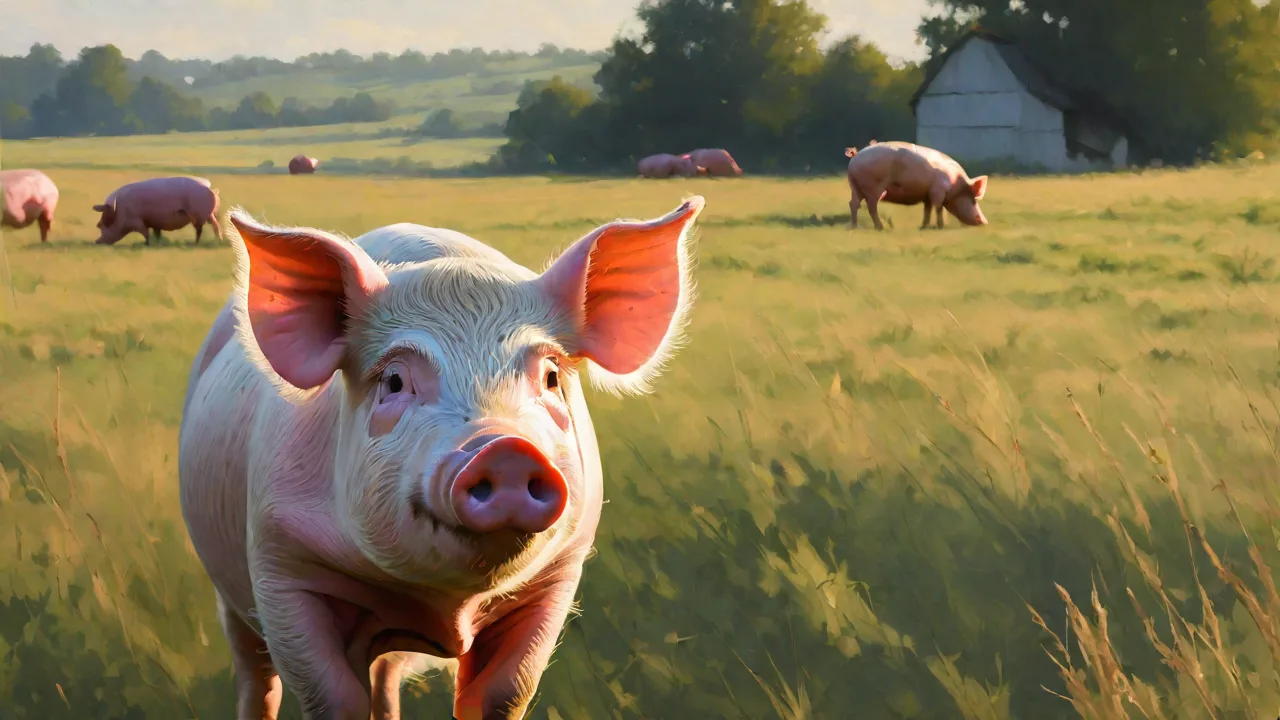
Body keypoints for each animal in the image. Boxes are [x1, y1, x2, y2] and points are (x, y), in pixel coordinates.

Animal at [93, 176, 221, 246]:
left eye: (101, 225)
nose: (96, 242)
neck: (120, 211)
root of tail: (211, 189)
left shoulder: (137, 221)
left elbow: (145, 233)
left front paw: (147, 244)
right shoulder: (155, 222)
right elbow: (156, 233)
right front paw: (158, 243)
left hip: (199, 215)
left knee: (200, 230)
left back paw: (195, 244)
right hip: (209, 214)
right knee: (216, 225)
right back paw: (219, 240)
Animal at [178, 195, 707, 720]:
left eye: (551, 376)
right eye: (394, 380)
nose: (505, 449)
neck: (446, 604)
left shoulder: (558, 575)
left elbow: (503, 692)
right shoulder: (280, 561)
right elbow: (333, 696)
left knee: (384, 678)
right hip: (230, 592)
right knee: (258, 677)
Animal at [844, 142, 988, 230]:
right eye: (973, 200)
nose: (985, 222)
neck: (954, 184)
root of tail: (855, 158)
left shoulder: (927, 194)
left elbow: (927, 210)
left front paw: (923, 227)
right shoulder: (937, 191)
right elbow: (939, 208)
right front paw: (940, 226)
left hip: (855, 186)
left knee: (853, 204)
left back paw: (855, 227)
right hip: (873, 187)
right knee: (871, 207)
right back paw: (880, 228)